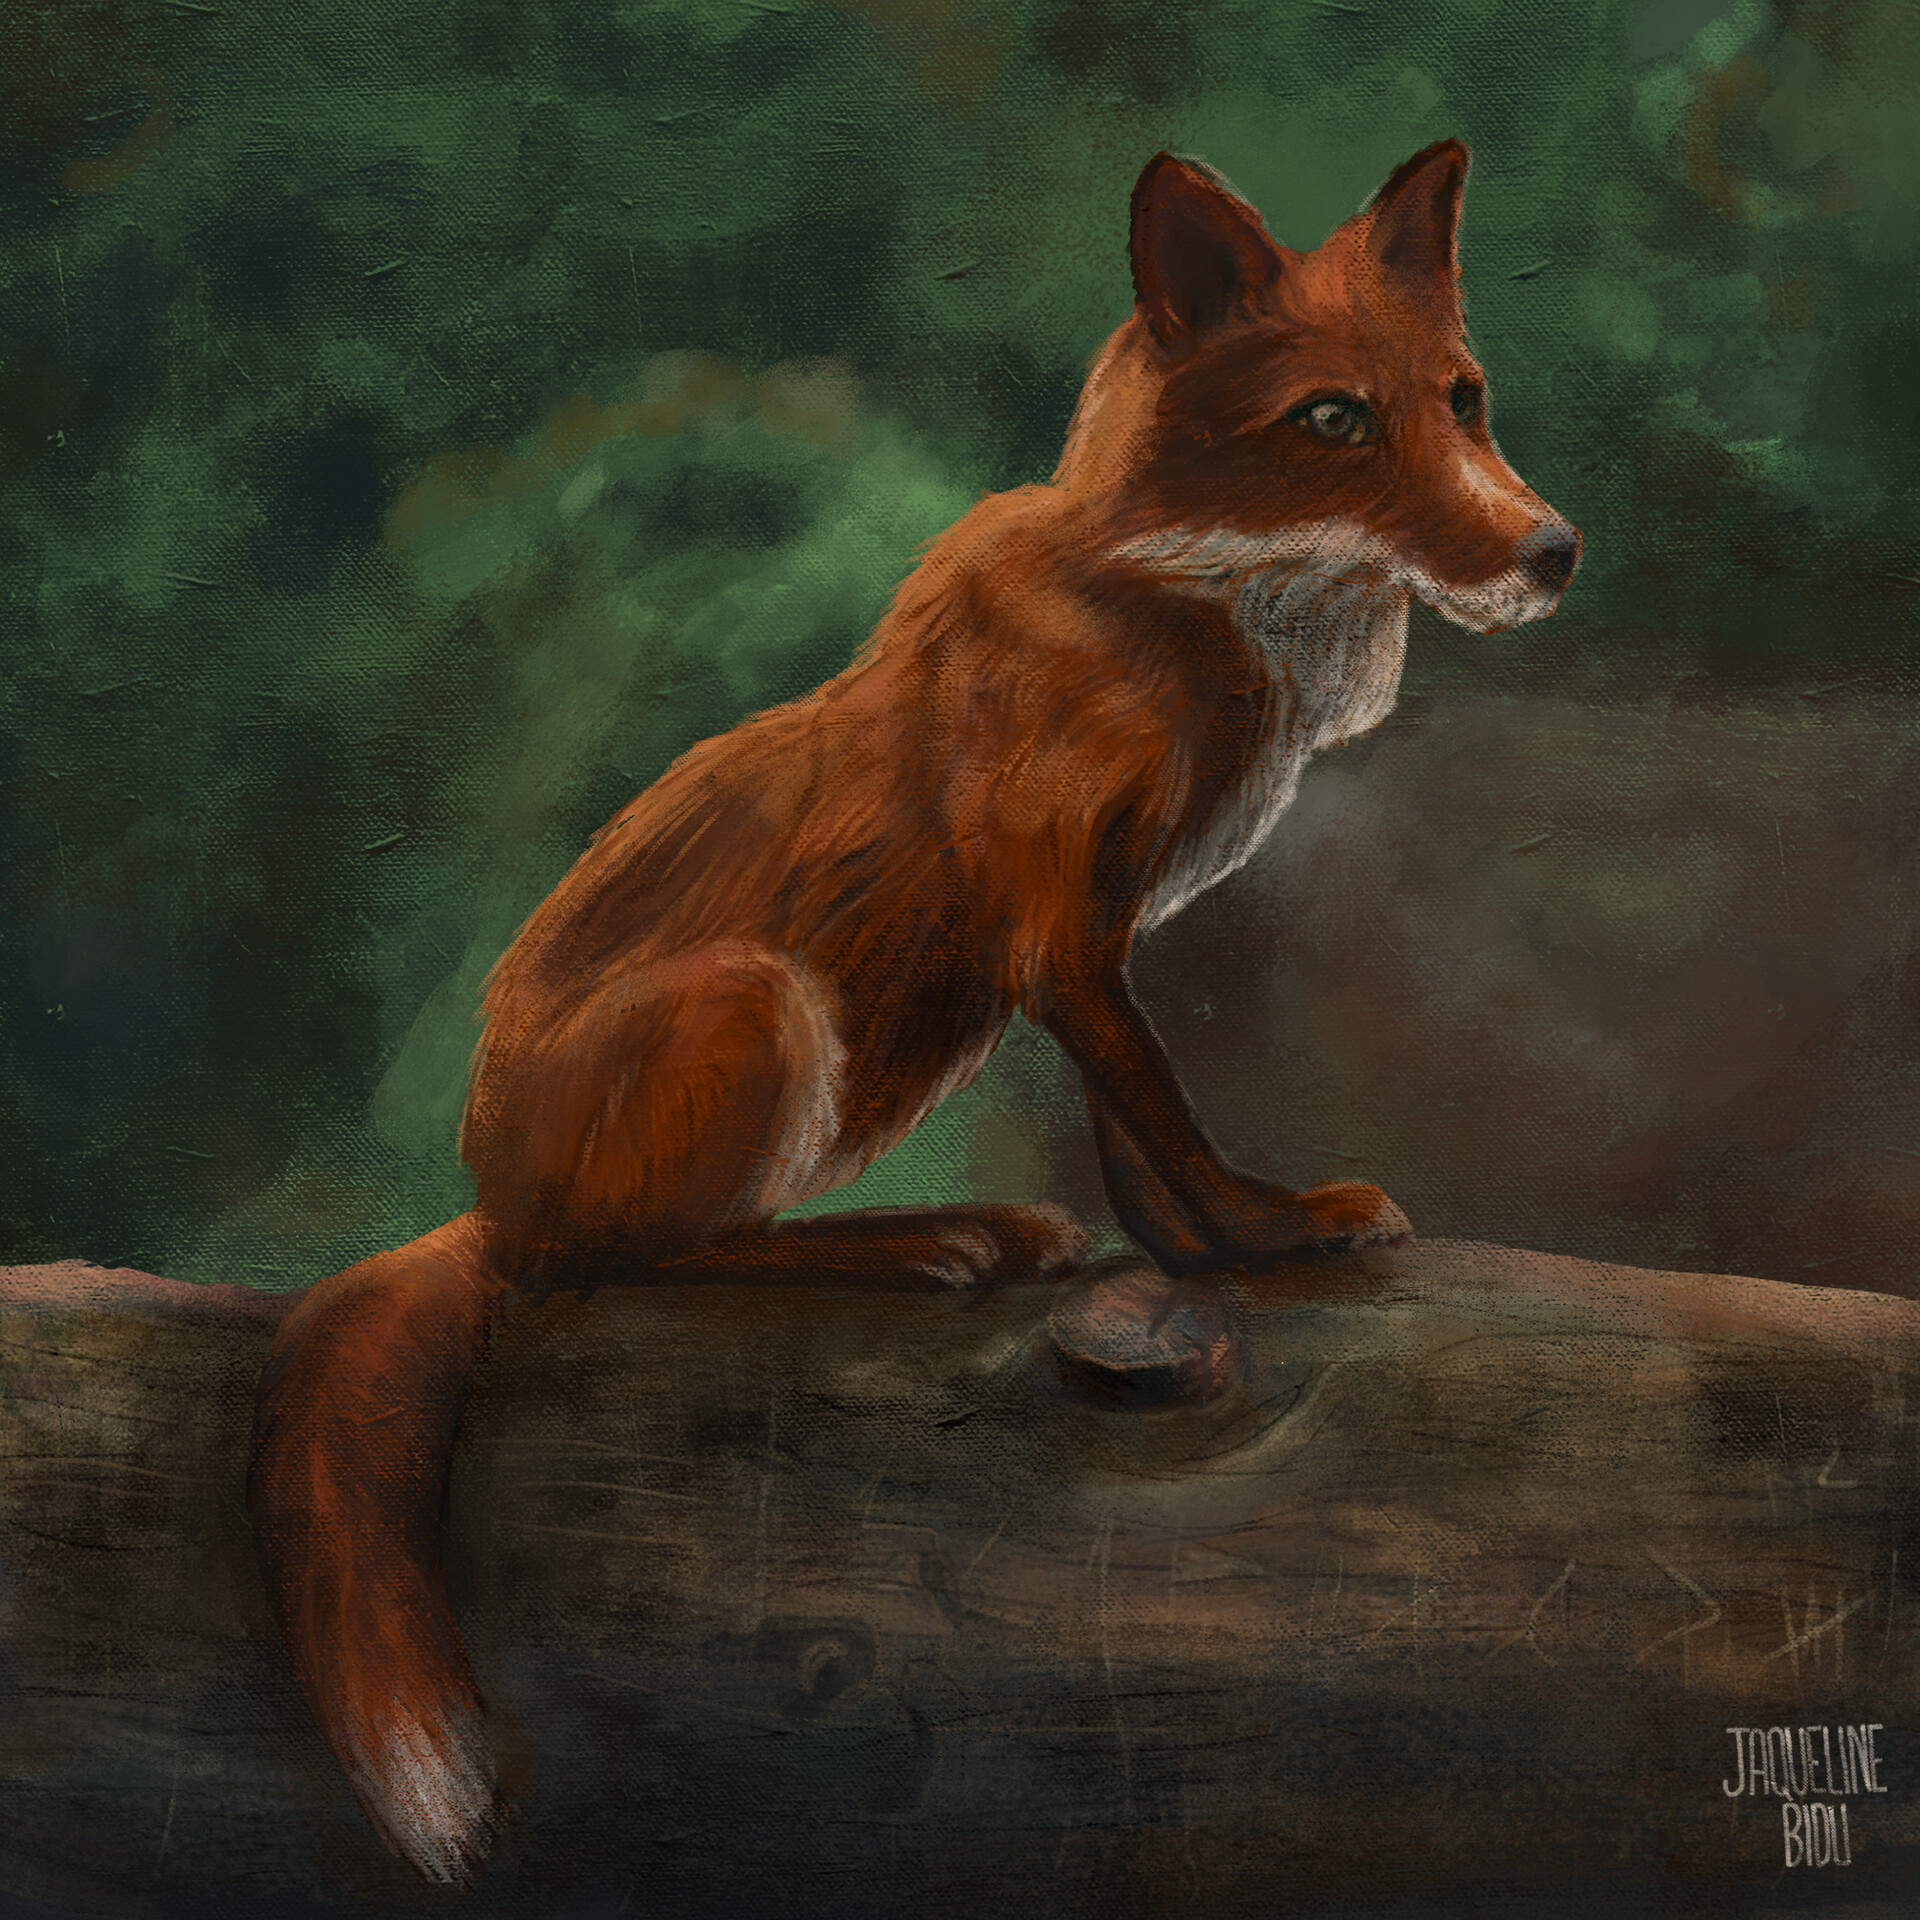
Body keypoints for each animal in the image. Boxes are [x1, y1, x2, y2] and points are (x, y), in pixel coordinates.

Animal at [247, 139, 1578, 1883]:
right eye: (1338, 420)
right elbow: (1164, 1110)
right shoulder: (1056, 930)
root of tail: (483, 1196)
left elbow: (1136, 1145)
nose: (1557, 551)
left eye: (1465, 399)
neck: (1194, 611)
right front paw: (1268, 1235)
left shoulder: (1095, 942)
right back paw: (920, 1238)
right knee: (626, 1267)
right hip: (750, 1008)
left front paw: (1202, 1249)